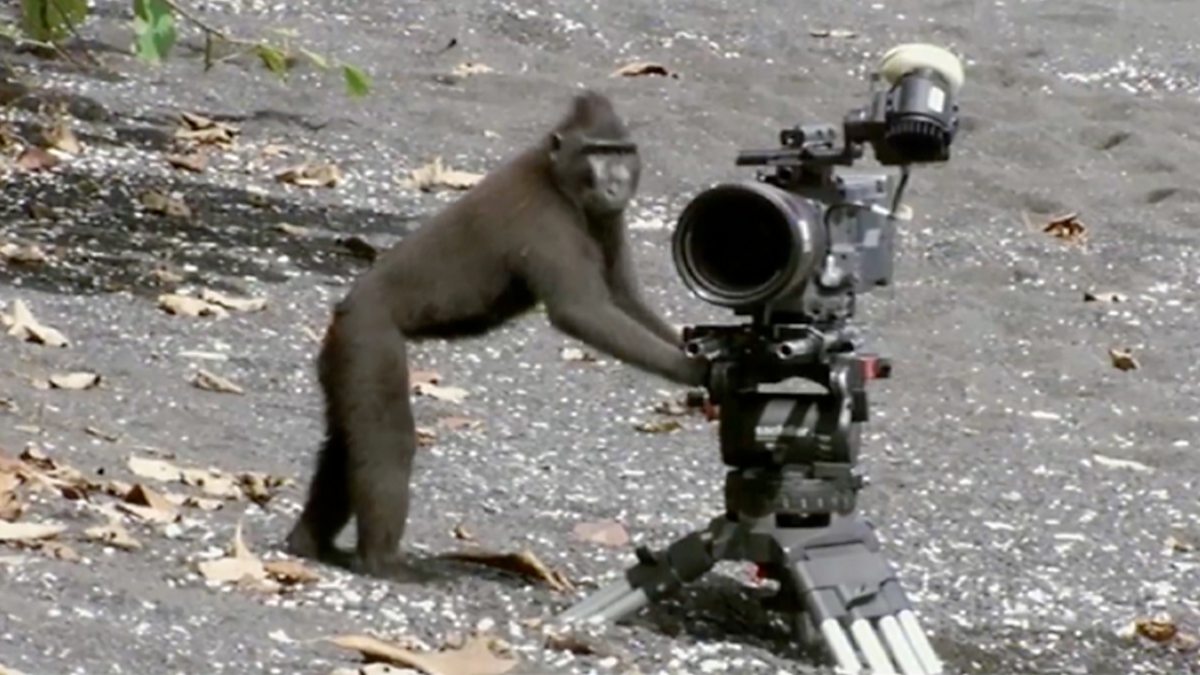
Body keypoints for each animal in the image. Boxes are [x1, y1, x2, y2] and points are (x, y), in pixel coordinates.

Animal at [285, 90, 710, 580]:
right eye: (597, 152)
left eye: (622, 152)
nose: (616, 184)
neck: (555, 174)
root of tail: (347, 308)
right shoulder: (546, 218)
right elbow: (582, 312)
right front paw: (697, 369)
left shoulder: (606, 218)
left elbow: (625, 299)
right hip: (370, 339)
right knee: (386, 442)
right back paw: (381, 560)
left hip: (343, 353)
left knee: (343, 441)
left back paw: (308, 542)